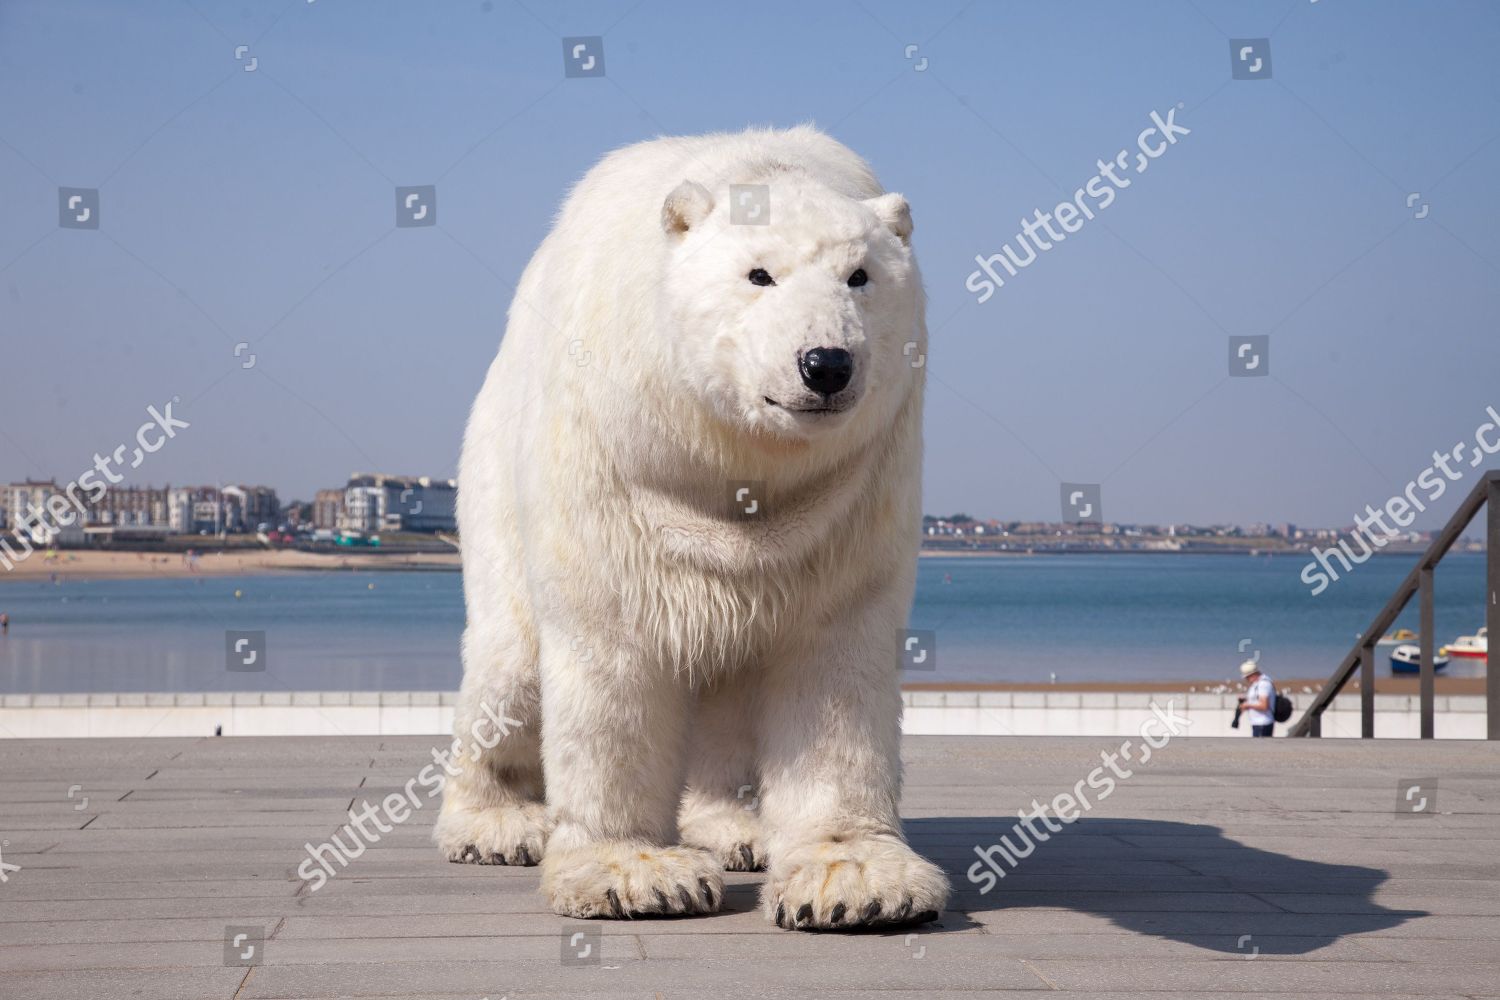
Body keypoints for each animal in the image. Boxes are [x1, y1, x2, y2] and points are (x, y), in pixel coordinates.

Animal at [434, 124, 949, 930]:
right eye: (759, 274)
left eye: (860, 276)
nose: (826, 364)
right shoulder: (614, 457)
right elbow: (612, 640)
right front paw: (635, 872)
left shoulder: (855, 485)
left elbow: (832, 650)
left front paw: (856, 879)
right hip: (492, 472)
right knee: (508, 665)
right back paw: (498, 825)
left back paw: (734, 829)